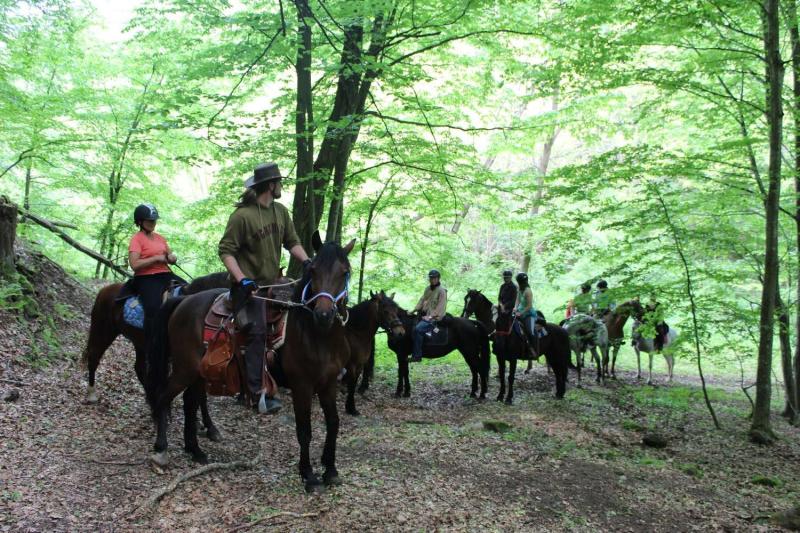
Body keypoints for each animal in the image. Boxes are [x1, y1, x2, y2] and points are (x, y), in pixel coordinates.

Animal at [146, 235, 354, 492]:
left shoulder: (328, 383)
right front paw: (309, 476)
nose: (324, 315)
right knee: (164, 397)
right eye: (313, 270)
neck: (317, 336)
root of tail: (184, 299)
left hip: (198, 371)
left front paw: (331, 470)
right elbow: (304, 430)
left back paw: (195, 450)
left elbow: (333, 423)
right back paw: (161, 450)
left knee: (190, 402)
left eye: (345, 271)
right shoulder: (302, 386)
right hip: (184, 369)